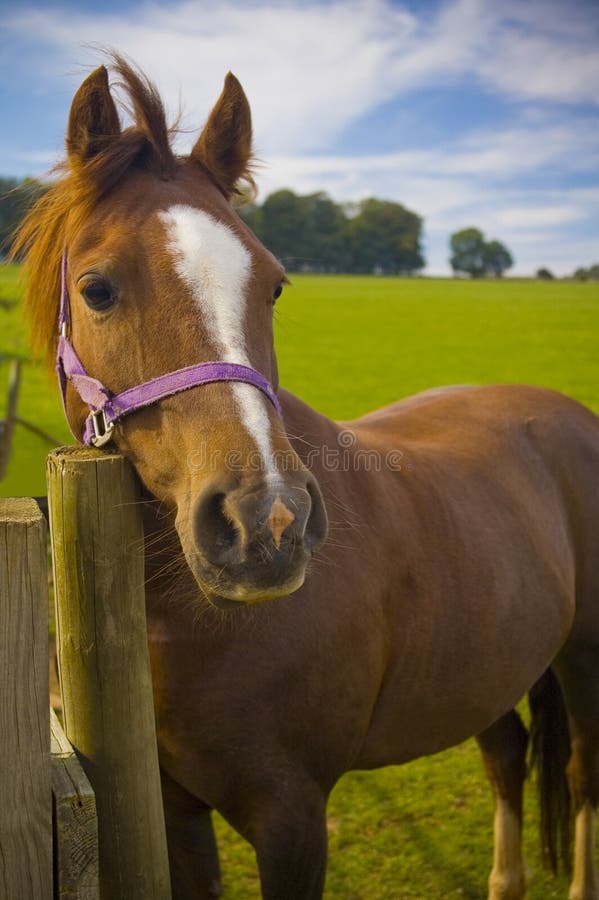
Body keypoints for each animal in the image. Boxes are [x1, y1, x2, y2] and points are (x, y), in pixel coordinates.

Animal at [13, 55, 599, 900]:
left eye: (274, 284)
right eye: (96, 288)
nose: (267, 525)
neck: (178, 624)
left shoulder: (291, 817)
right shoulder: (176, 812)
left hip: (584, 655)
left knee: (581, 774)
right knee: (506, 754)